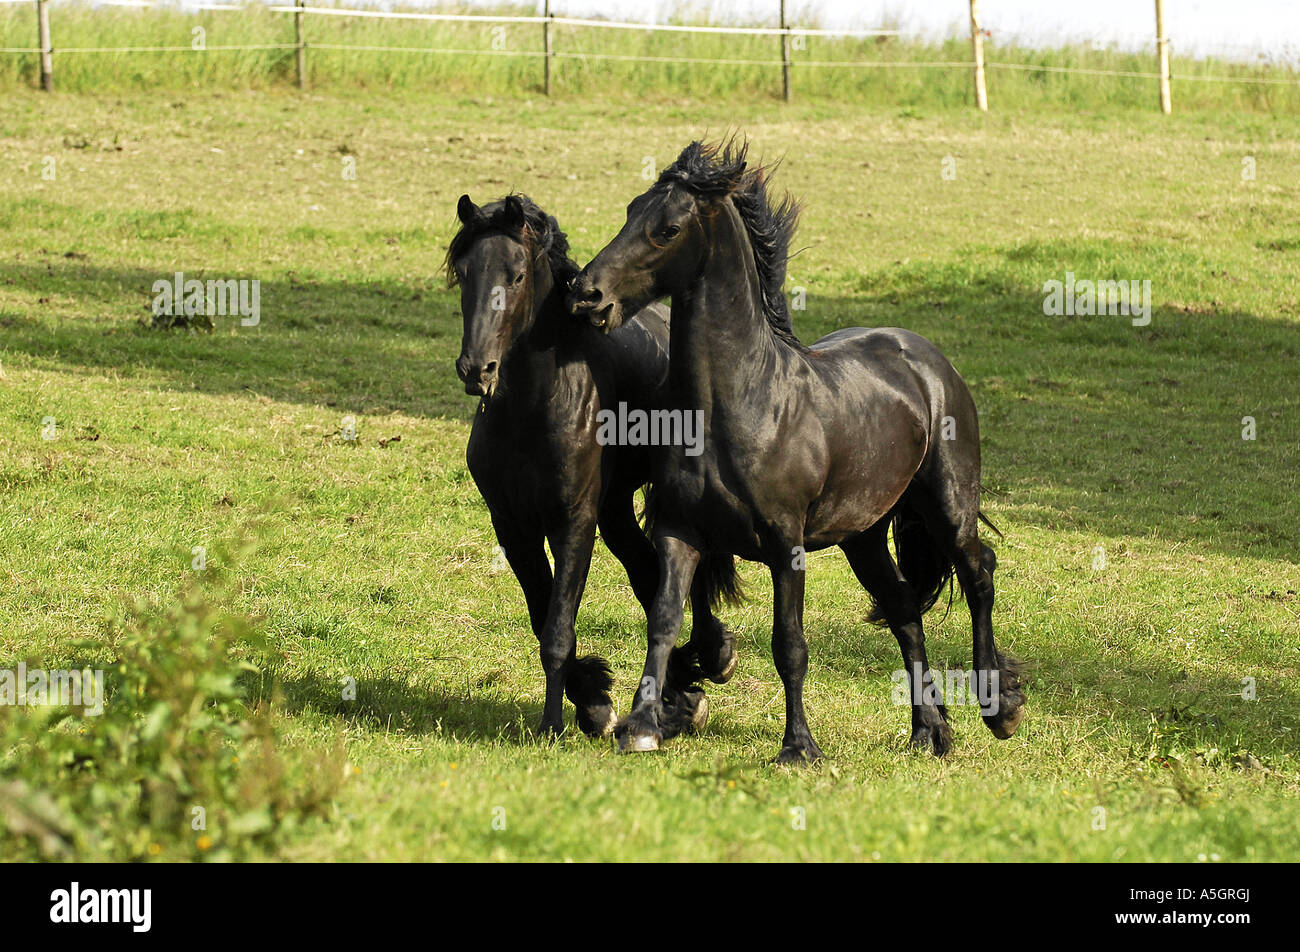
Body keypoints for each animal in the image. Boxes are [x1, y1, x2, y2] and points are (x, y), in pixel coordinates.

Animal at [447, 193, 740, 740]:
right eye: (463, 271)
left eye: (516, 276)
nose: (477, 369)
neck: (533, 410)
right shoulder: (513, 527)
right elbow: (542, 616)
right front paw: (593, 701)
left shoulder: (574, 523)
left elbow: (558, 630)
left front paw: (555, 724)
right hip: (616, 508)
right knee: (646, 571)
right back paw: (684, 690)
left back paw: (714, 656)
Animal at [567, 141, 1026, 762]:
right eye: (630, 211)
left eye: (667, 229)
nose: (586, 294)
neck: (741, 406)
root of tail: (929, 362)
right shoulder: (678, 532)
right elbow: (663, 621)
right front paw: (640, 727)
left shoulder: (787, 545)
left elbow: (790, 644)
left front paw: (798, 747)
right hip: (863, 536)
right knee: (905, 608)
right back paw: (928, 730)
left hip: (948, 507)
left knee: (979, 576)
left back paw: (999, 711)